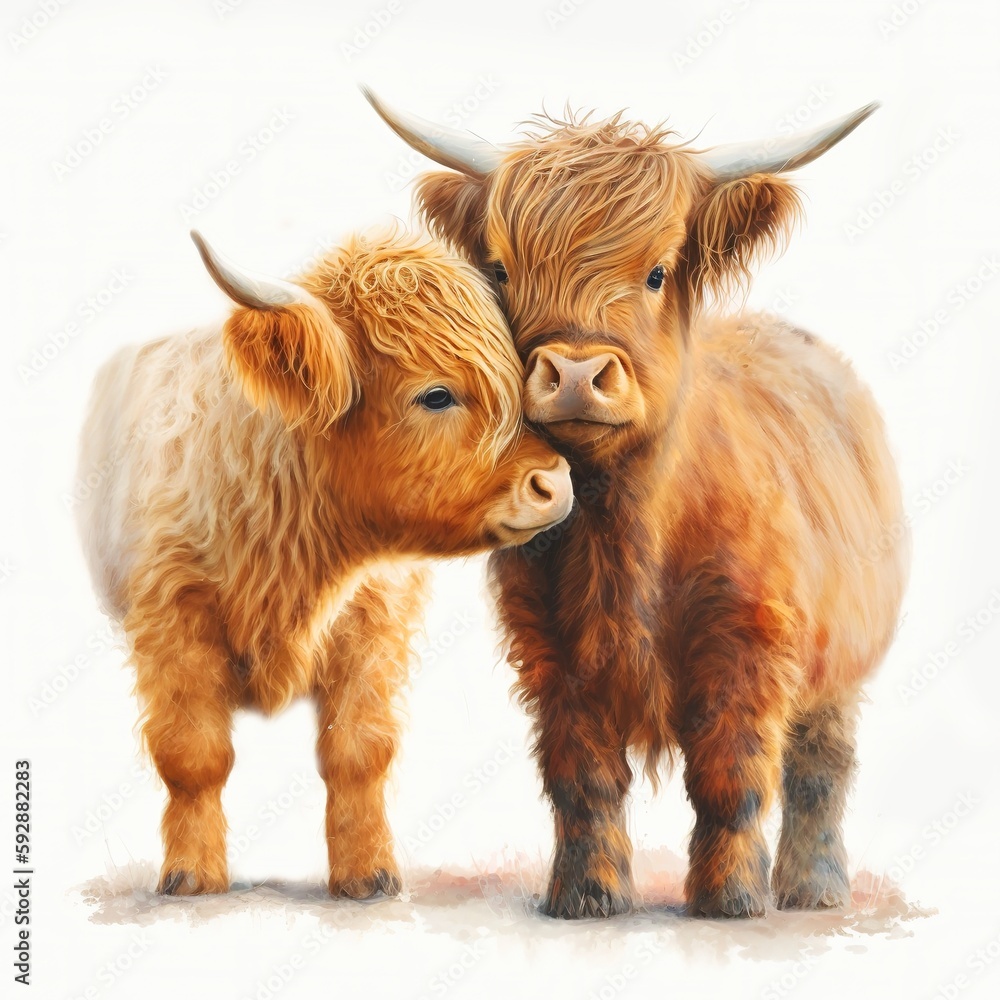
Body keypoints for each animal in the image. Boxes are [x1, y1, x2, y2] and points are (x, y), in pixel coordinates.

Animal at [74, 228, 573, 898]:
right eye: (436, 395)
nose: (555, 483)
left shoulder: (375, 617)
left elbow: (359, 751)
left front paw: (370, 876)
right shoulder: (171, 619)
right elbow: (193, 754)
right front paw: (191, 875)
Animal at [366, 91, 909, 919]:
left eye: (657, 272)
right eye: (503, 268)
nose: (574, 374)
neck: (620, 530)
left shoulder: (748, 641)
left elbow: (731, 776)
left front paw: (730, 899)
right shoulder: (551, 651)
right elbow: (582, 779)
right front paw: (585, 895)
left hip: (841, 655)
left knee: (822, 763)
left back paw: (813, 890)